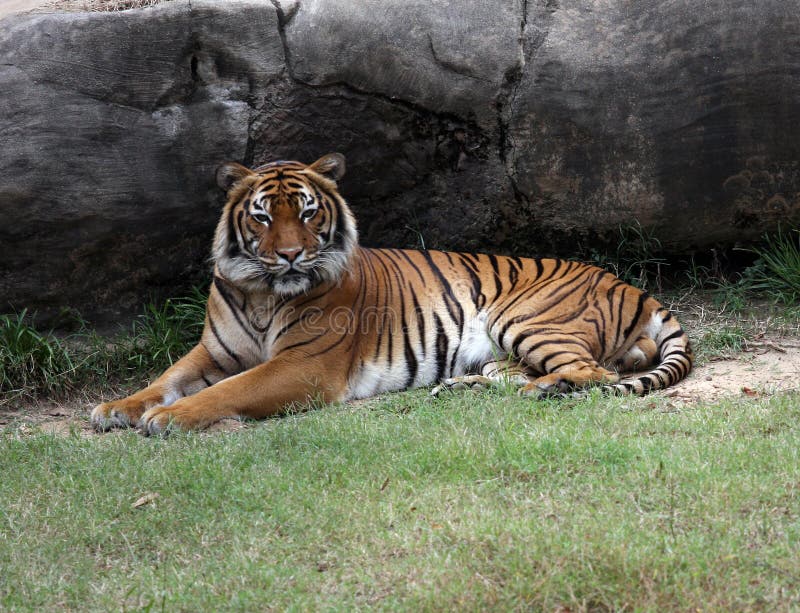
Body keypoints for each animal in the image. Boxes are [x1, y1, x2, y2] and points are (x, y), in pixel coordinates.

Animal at [91, 153, 693, 435]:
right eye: (261, 216)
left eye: (307, 212)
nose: (289, 256)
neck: (264, 291)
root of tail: (631, 285)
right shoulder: (213, 352)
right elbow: (166, 378)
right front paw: (117, 407)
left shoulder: (303, 366)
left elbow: (227, 391)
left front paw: (170, 418)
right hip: (499, 349)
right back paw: (457, 387)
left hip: (525, 318)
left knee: (596, 372)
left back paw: (543, 390)